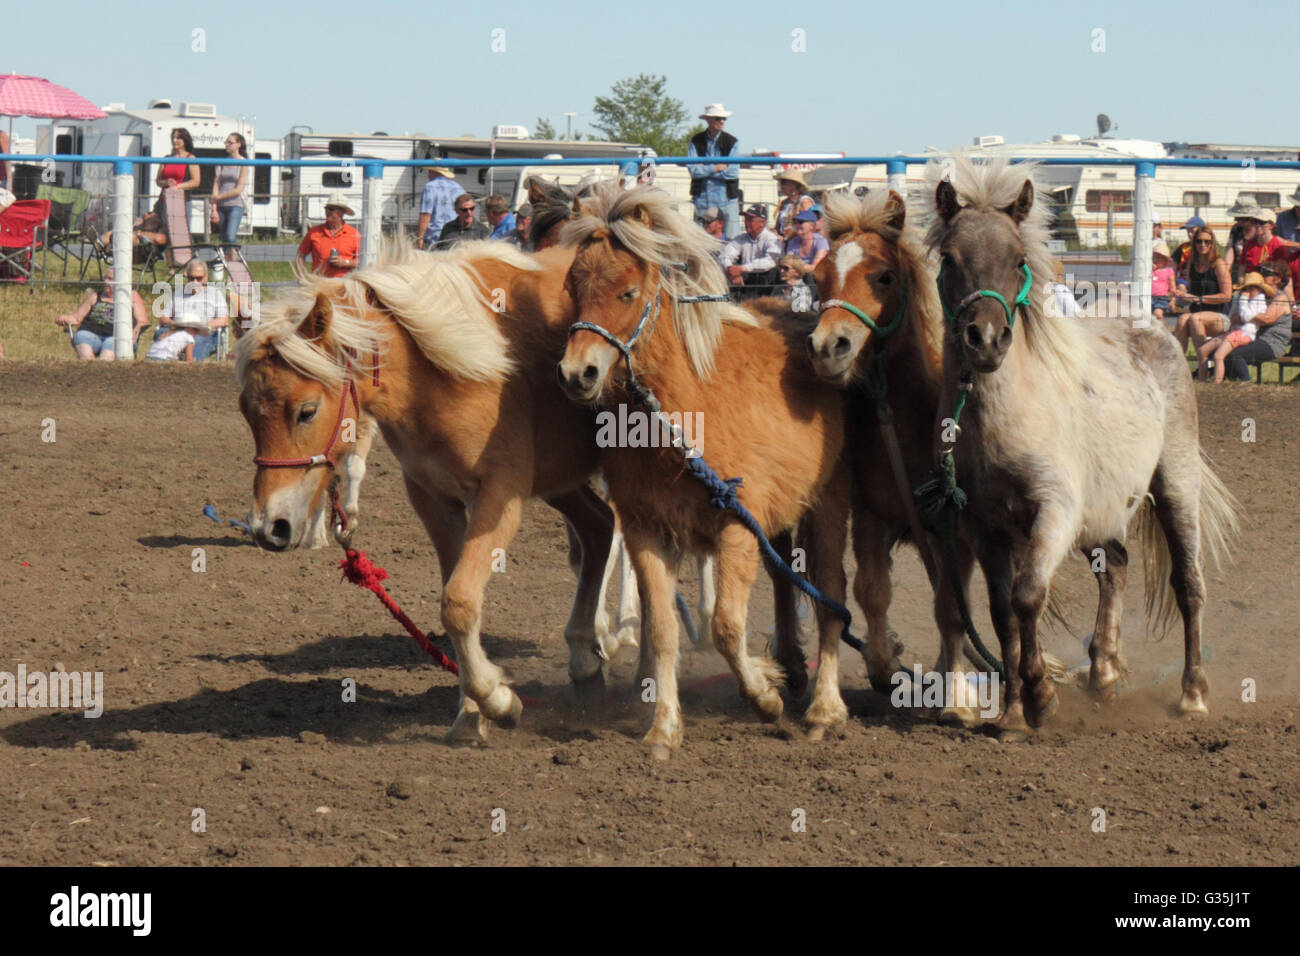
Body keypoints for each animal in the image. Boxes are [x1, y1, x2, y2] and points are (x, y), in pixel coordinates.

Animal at [235, 240, 634, 745]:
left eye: (306, 411)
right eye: (246, 411)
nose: (269, 527)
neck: (442, 375)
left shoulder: (498, 499)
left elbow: (459, 603)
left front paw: (498, 700)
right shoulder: (434, 500)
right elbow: (456, 601)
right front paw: (470, 711)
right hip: (560, 483)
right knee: (599, 529)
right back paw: (585, 660)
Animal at [556, 183, 853, 757]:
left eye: (627, 293)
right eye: (571, 287)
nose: (576, 374)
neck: (681, 415)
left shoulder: (735, 526)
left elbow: (726, 627)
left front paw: (764, 697)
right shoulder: (647, 530)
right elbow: (664, 630)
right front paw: (664, 728)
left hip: (826, 505)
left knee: (830, 595)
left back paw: (824, 707)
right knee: (785, 582)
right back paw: (791, 665)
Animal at [925, 154, 1237, 729]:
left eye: (1018, 259)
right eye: (951, 259)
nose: (986, 340)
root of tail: (1156, 330)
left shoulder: (1056, 510)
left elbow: (1028, 596)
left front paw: (1040, 694)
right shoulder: (984, 527)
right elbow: (1002, 612)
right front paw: (1010, 710)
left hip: (1175, 485)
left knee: (1189, 585)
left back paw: (1192, 694)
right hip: (1104, 506)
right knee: (1115, 566)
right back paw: (1104, 673)